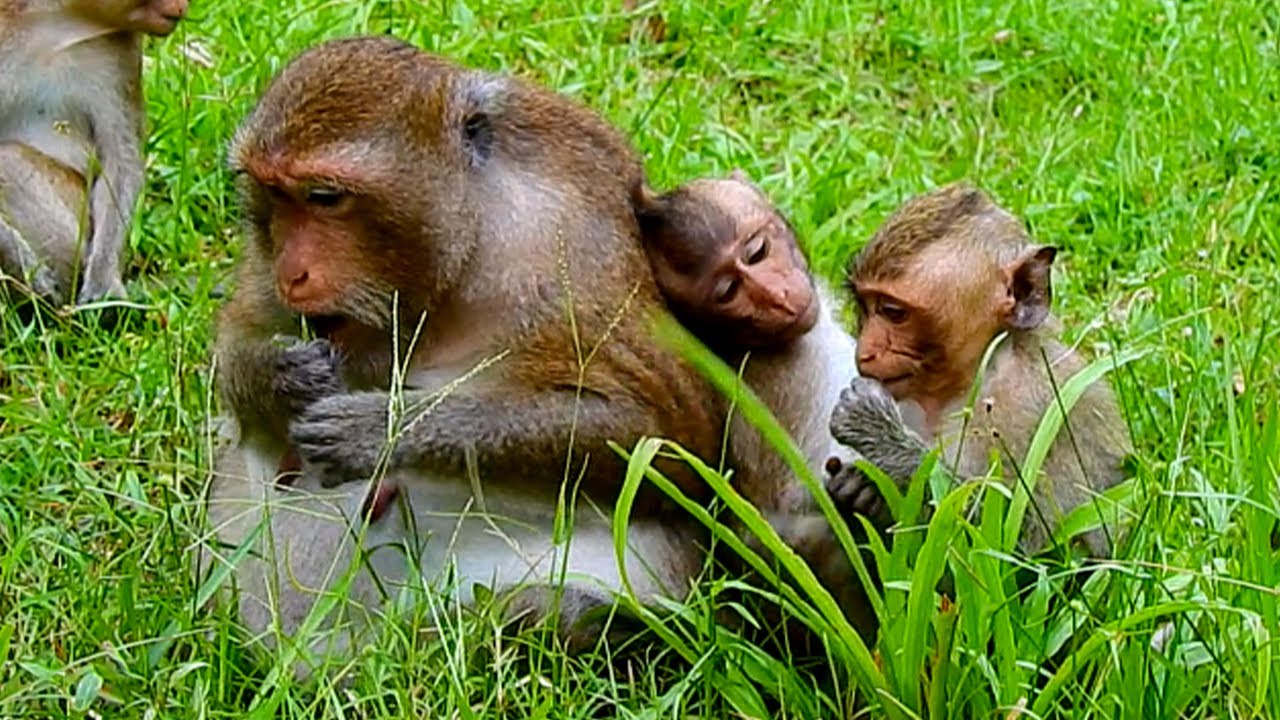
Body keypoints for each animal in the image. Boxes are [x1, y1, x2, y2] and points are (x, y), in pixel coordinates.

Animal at [0, 0, 187, 306]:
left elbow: (121, 160)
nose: (183, 6)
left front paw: (103, 280)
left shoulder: (120, 56)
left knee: (7, 161)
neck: (57, 23)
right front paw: (23, 268)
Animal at [199, 36, 728, 662]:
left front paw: (379, 431)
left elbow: (665, 444)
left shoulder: (568, 258)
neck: (466, 253)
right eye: (272, 195)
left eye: (324, 197)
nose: (292, 272)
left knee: (562, 610)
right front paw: (277, 379)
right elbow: (242, 332)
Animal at [827, 182, 1132, 557]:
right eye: (864, 306)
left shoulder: (1031, 408)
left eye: (892, 312)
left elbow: (1027, 544)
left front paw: (879, 434)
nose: (866, 352)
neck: (977, 376)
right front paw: (864, 487)